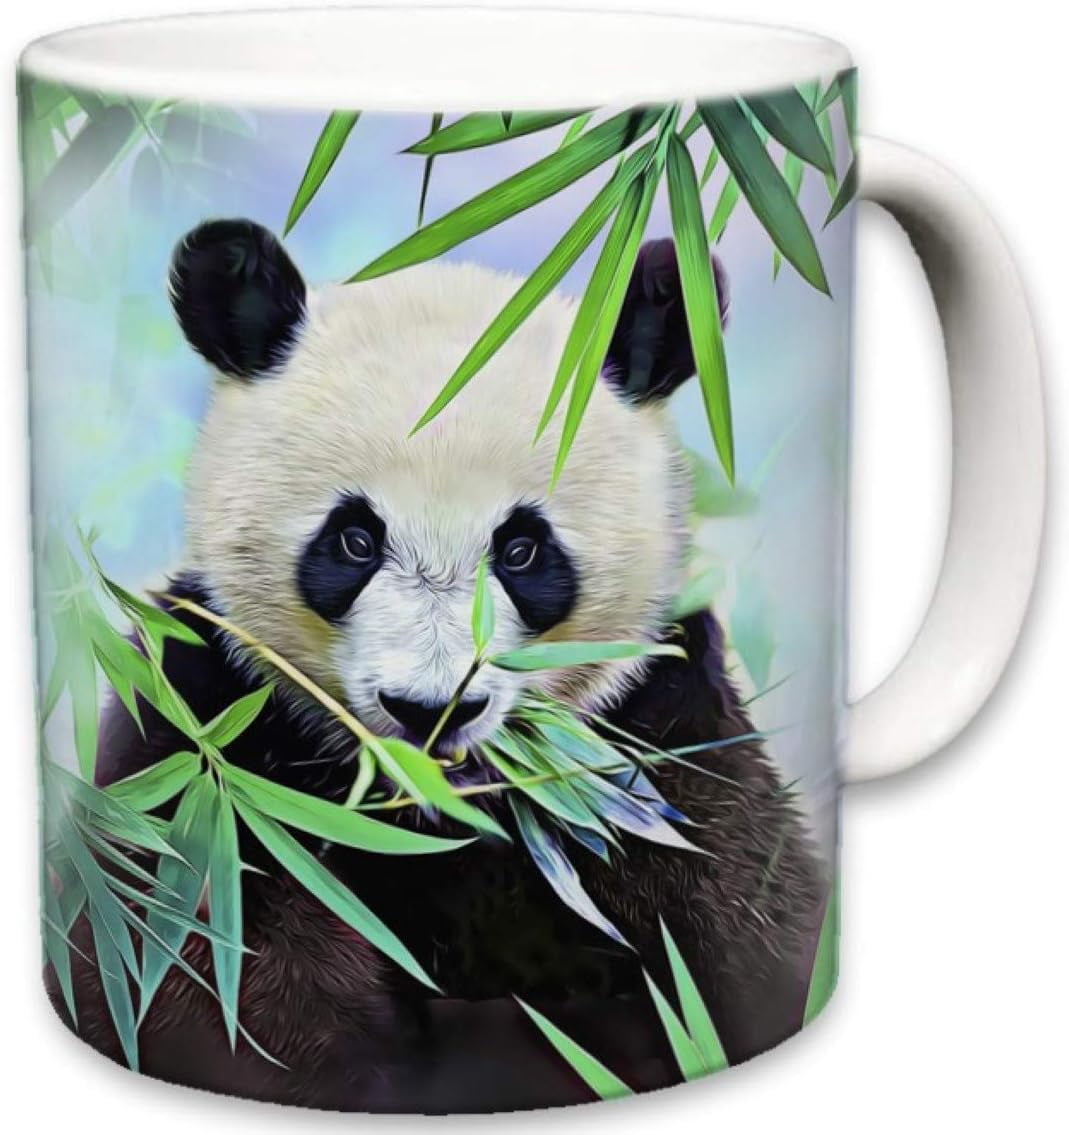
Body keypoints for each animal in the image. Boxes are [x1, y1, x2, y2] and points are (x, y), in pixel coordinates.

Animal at [49, 219, 826, 1113]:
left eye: (522, 550)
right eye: (354, 538)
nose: (429, 709)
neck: (437, 806)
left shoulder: (663, 737)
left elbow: (746, 932)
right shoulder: (207, 737)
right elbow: (197, 959)